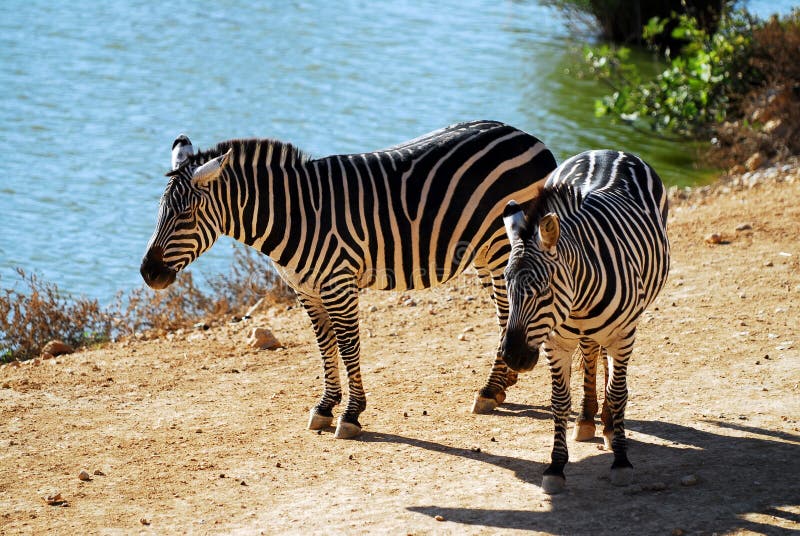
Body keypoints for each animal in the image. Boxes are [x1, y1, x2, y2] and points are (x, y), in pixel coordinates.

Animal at [140, 120, 558, 439]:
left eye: (186, 215)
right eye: (158, 211)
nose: (147, 273)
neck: (295, 215)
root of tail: (529, 137)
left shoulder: (338, 285)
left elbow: (348, 347)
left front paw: (352, 414)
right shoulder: (306, 291)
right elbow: (325, 348)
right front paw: (326, 406)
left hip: (503, 246)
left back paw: (491, 388)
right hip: (487, 253)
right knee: (504, 311)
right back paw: (499, 386)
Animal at [499, 149, 669, 494]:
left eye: (543, 290)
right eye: (506, 287)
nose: (512, 357)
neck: (577, 303)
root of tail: (608, 151)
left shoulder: (622, 335)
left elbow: (618, 394)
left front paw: (621, 460)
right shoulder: (555, 343)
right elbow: (558, 401)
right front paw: (556, 466)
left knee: (607, 368)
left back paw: (607, 424)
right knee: (591, 354)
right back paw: (589, 419)